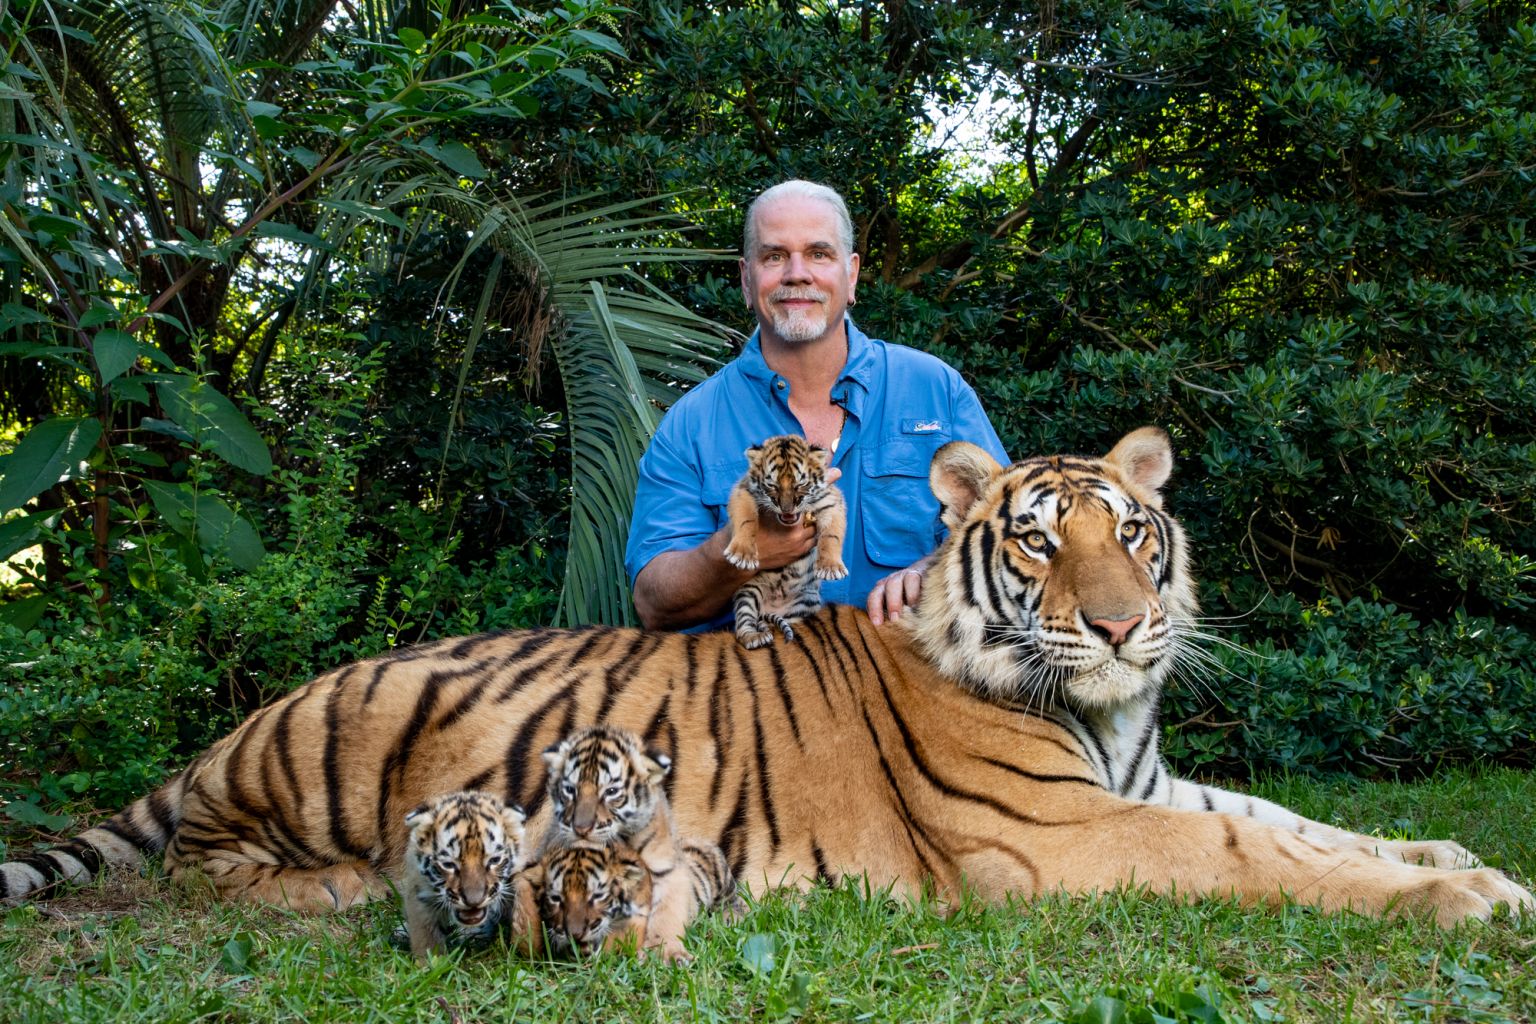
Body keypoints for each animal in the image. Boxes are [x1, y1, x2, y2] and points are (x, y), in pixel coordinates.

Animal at [399, 790, 541, 959]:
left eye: (494, 860)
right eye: (448, 865)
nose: (474, 902)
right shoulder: (419, 892)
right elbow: (426, 936)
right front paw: (432, 962)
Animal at [722, 434, 848, 648]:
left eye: (800, 485)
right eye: (772, 485)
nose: (787, 509)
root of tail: (772, 609)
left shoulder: (830, 502)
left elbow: (831, 536)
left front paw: (830, 567)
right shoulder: (744, 491)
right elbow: (746, 519)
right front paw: (742, 554)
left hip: (805, 601)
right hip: (748, 593)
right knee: (744, 623)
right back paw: (755, 637)